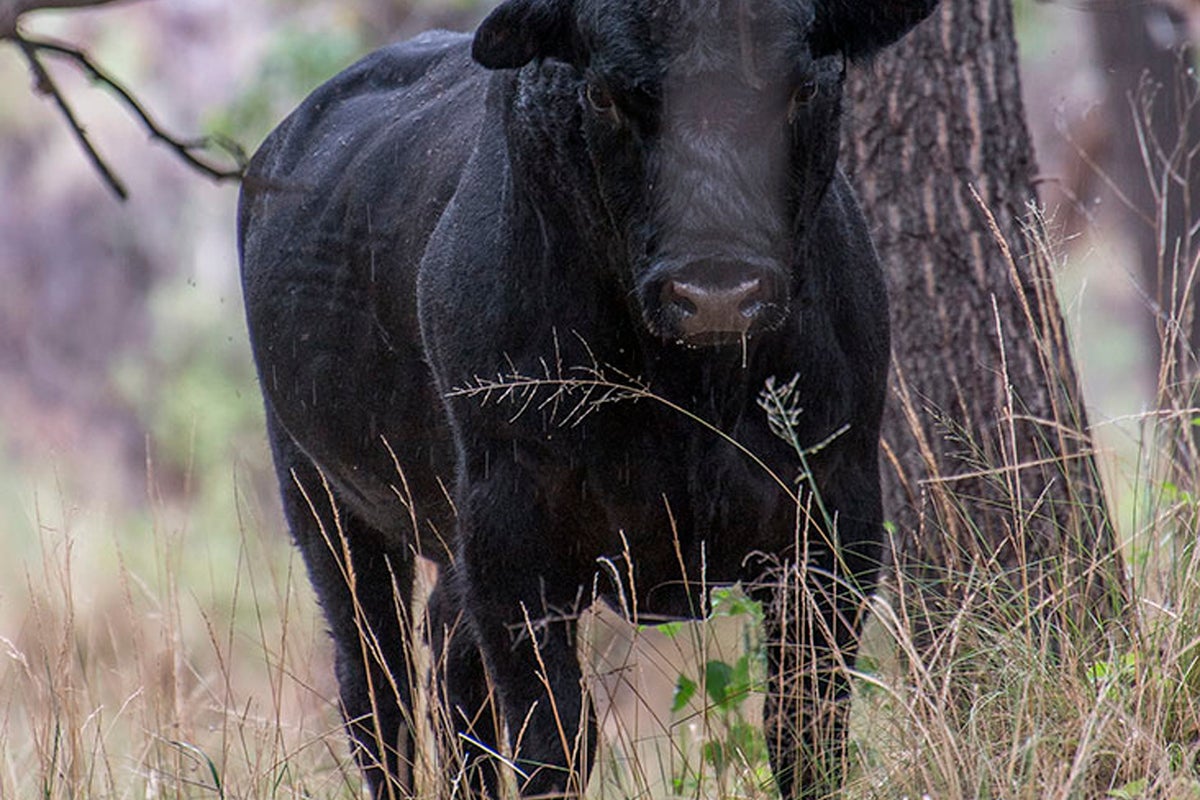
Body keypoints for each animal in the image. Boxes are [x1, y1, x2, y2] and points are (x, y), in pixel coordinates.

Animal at [237, 0, 937, 797]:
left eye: (806, 87)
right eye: (605, 95)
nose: (717, 291)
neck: (686, 396)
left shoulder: (833, 531)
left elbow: (805, 735)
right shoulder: (515, 543)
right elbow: (554, 738)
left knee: (449, 669)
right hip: (323, 502)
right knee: (378, 700)